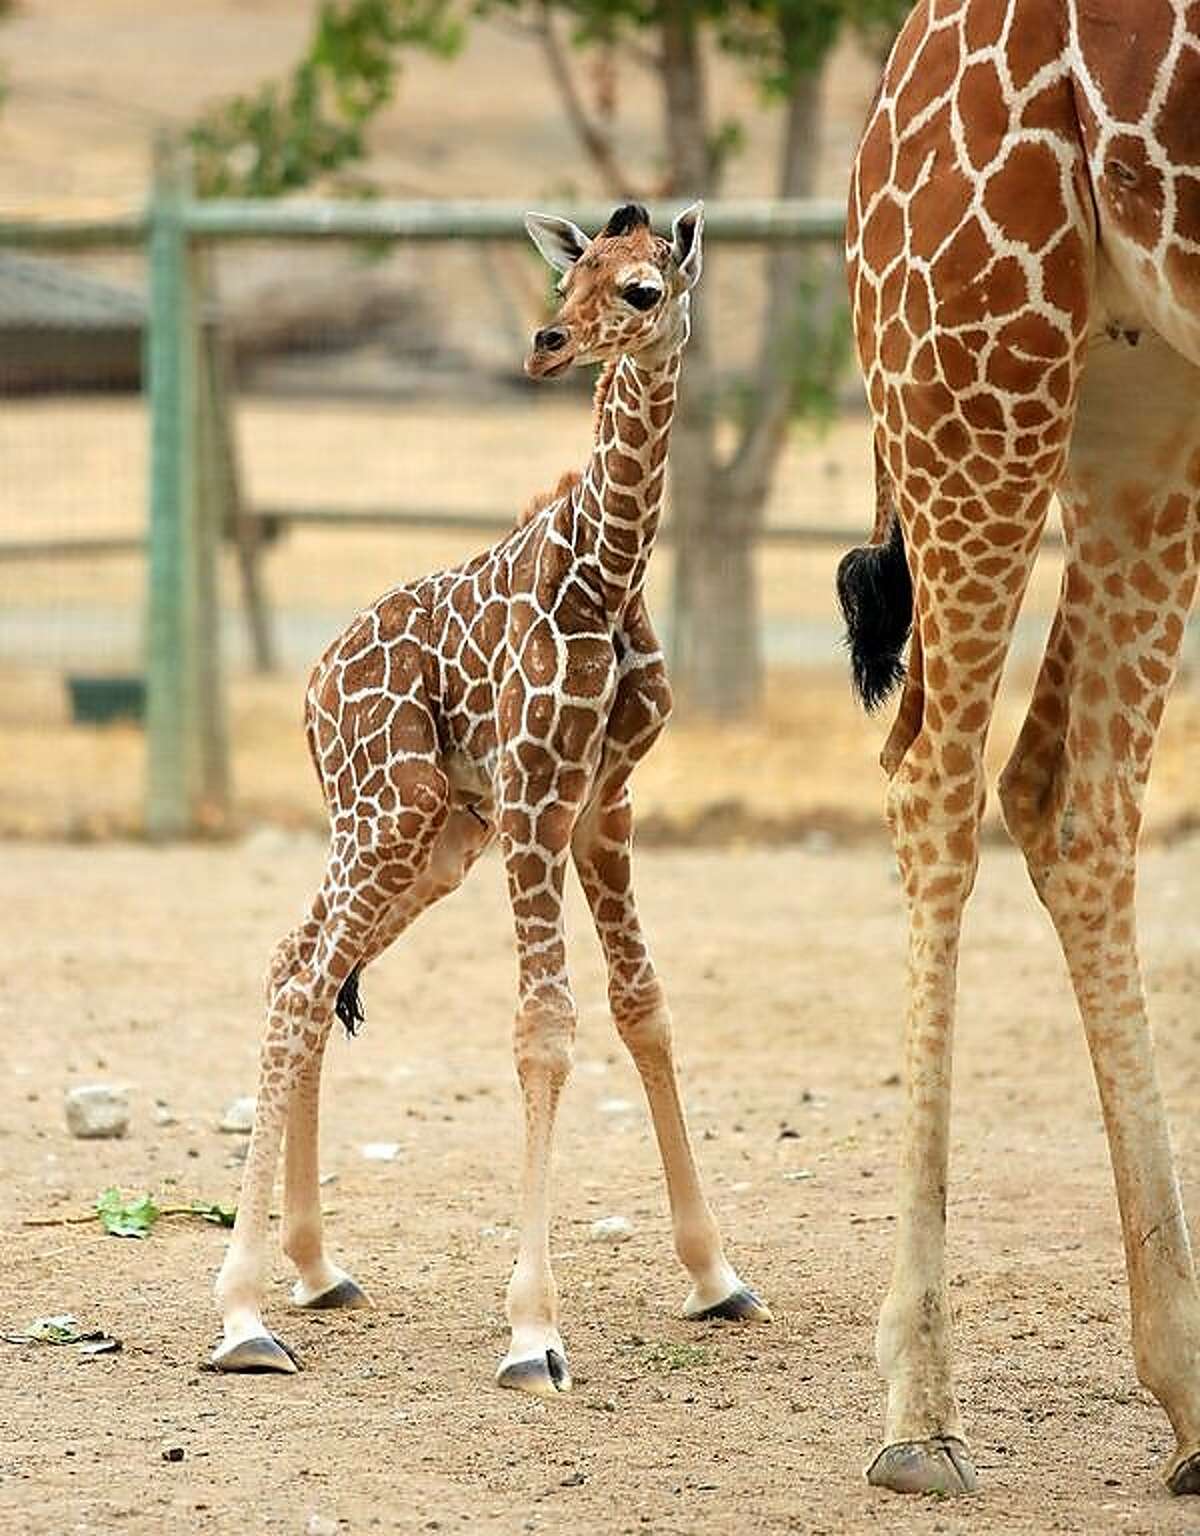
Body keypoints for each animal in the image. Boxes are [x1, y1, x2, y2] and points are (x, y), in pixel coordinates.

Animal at [212, 201, 770, 1391]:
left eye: (642, 288)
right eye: (569, 279)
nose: (546, 345)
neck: (608, 575)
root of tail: (311, 688)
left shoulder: (606, 807)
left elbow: (644, 1009)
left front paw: (717, 1277)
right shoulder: (535, 802)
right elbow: (544, 1028)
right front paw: (532, 1332)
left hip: (431, 839)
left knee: (293, 959)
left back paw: (317, 1269)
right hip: (392, 812)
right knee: (303, 982)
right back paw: (242, 1316)